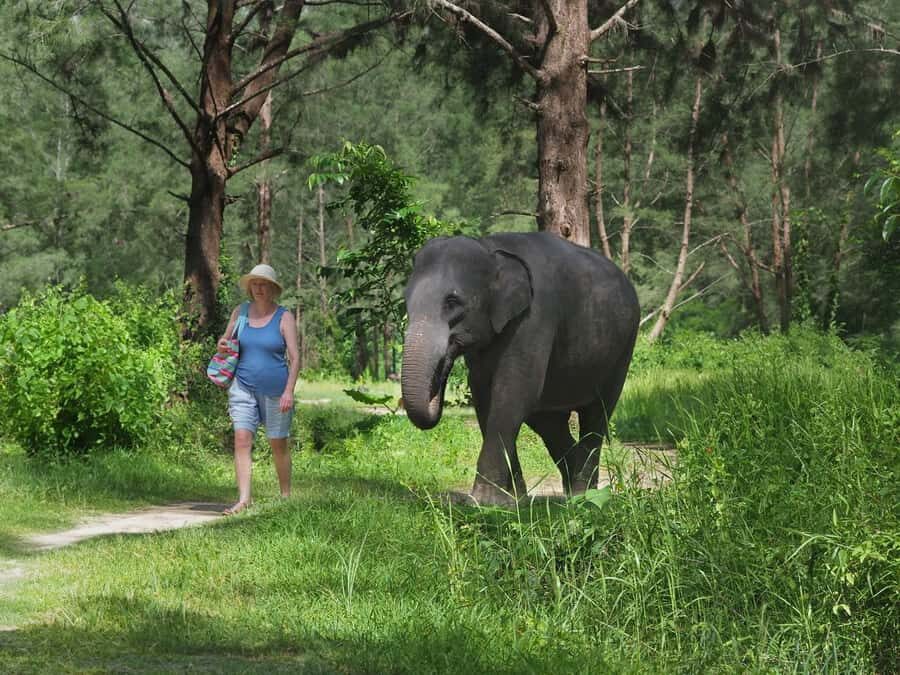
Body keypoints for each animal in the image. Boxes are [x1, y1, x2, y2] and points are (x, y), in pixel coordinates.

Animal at [401, 231, 640, 504]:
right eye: (406, 301)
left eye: (452, 302)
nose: (442, 368)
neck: (490, 248)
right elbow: (485, 397)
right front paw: (513, 501)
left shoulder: (534, 318)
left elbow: (513, 393)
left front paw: (483, 502)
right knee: (549, 423)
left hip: (622, 350)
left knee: (596, 416)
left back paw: (582, 497)